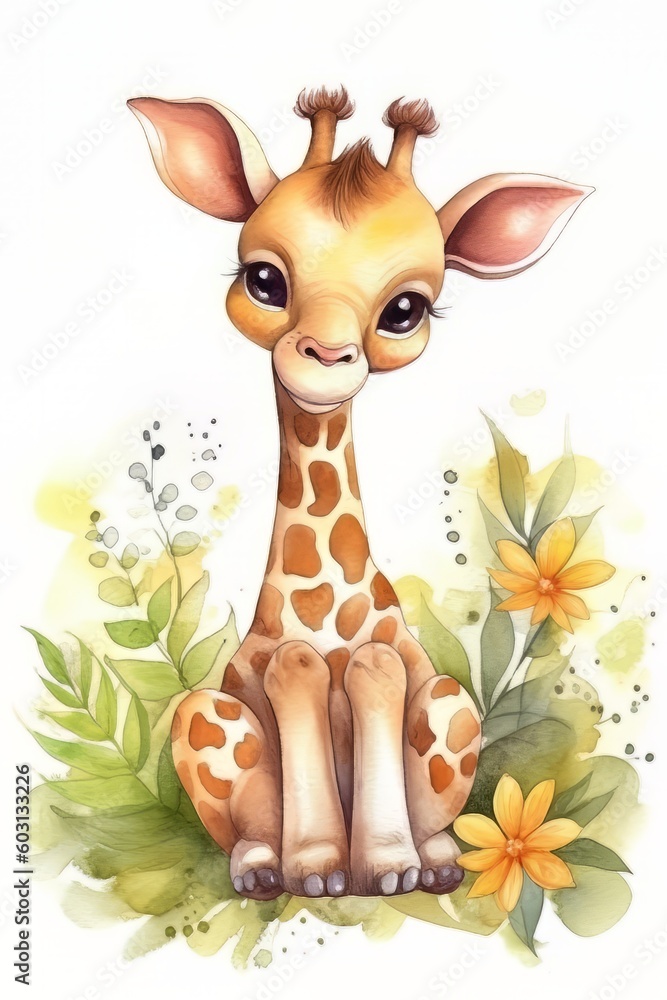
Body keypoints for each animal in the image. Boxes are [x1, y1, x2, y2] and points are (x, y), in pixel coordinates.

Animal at [129, 86, 592, 900]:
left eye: (404, 310)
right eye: (264, 280)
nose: (326, 358)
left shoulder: (389, 666)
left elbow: (376, 669)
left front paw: (388, 865)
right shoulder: (282, 669)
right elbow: (296, 669)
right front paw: (315, 869)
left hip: (450, 700)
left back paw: (436, 861)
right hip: (202, 713)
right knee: (241, 819)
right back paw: (260, 869)